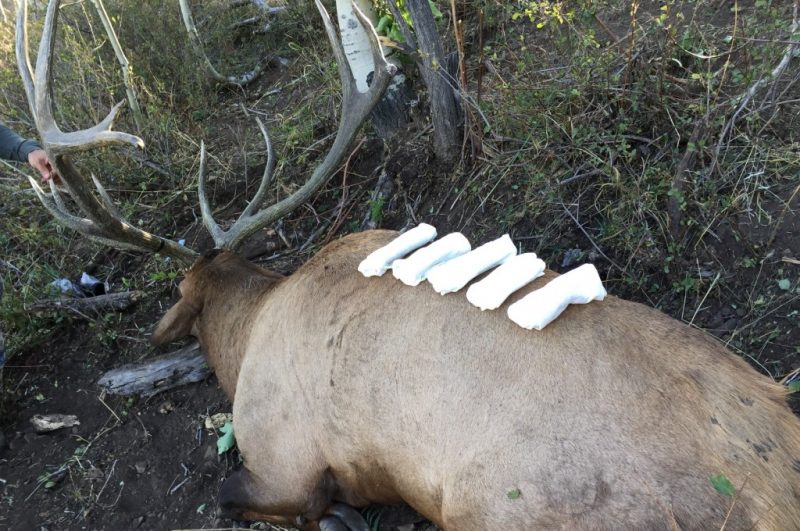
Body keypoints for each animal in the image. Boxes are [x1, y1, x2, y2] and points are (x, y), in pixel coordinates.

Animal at [15, 1, 800, 530]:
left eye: (179, 287)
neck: (245, 333)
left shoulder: (284, 456)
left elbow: (241, 494)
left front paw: (339, 517)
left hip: (508, 507)